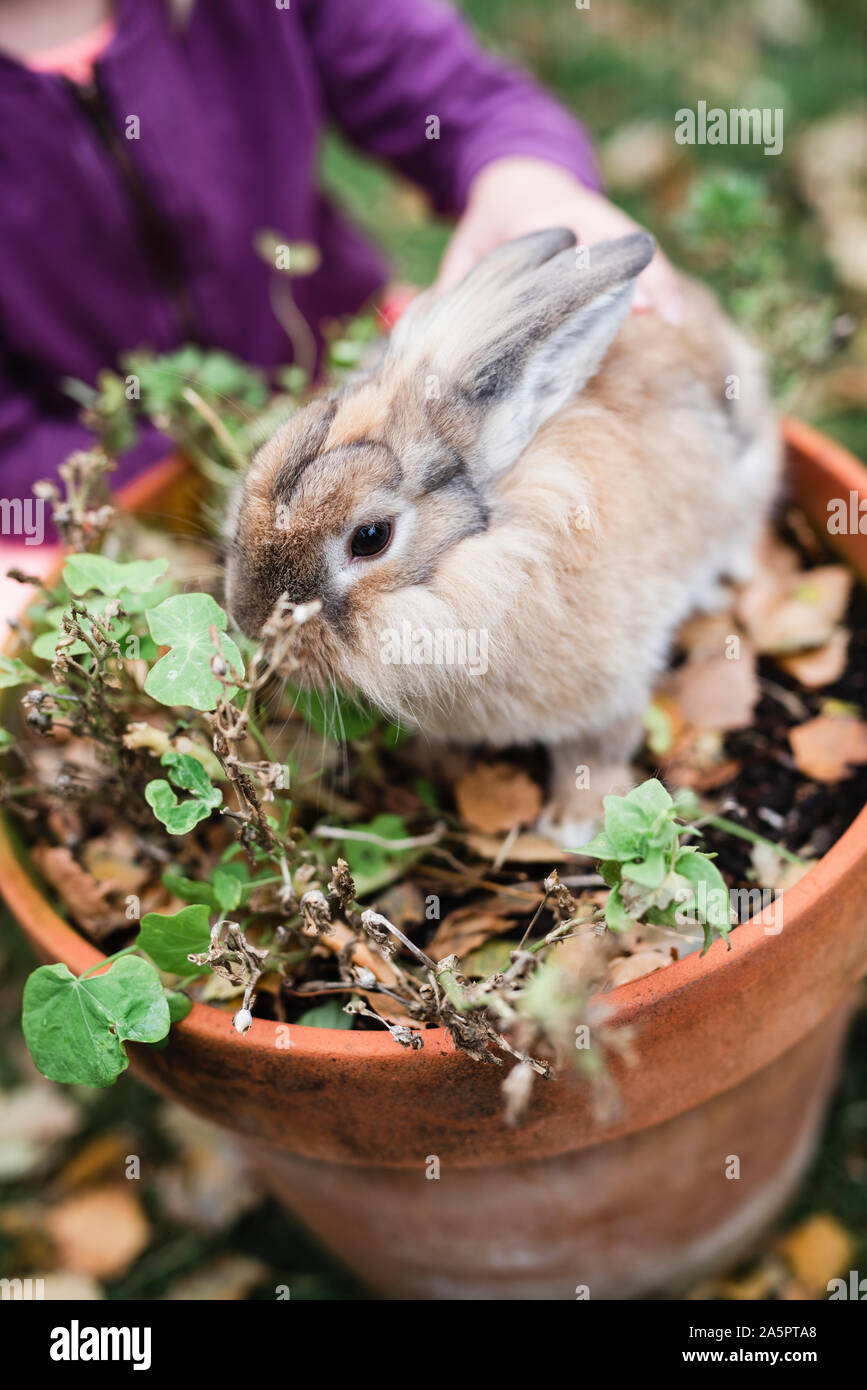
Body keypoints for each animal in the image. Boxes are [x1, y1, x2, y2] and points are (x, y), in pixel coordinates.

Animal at [225, 227, 781, 844]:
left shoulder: (611, 691)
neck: (483, 564)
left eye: (370, 537)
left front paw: (572, 826)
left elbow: (596, 753)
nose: (248, 622)